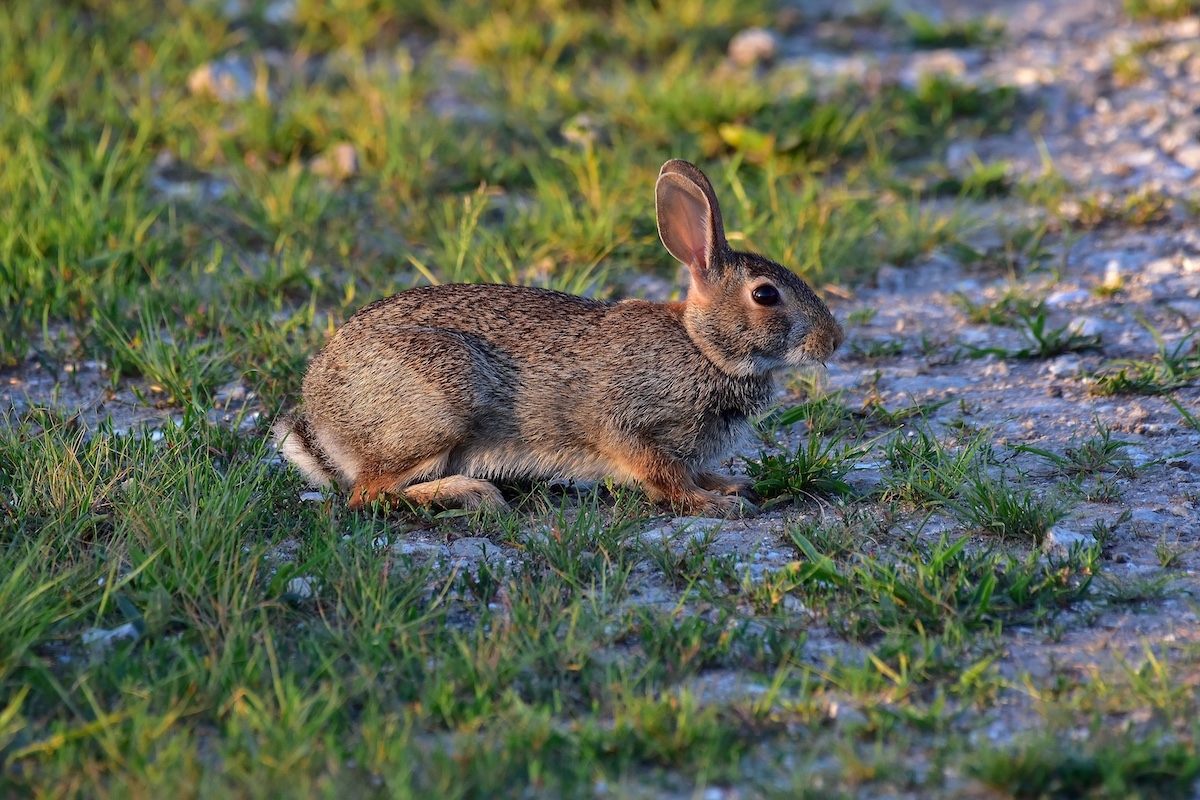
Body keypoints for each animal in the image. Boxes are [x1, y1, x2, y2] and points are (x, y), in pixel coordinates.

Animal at [273, 159, 843, 517]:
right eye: (766, 295)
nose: (833, 341)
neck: (704, 348)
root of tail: (322, 419)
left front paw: (729, 485)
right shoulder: (627, 424)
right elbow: (663, 476)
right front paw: (713, 504)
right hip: (439, 406)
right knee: (368, 495)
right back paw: (472, 493)